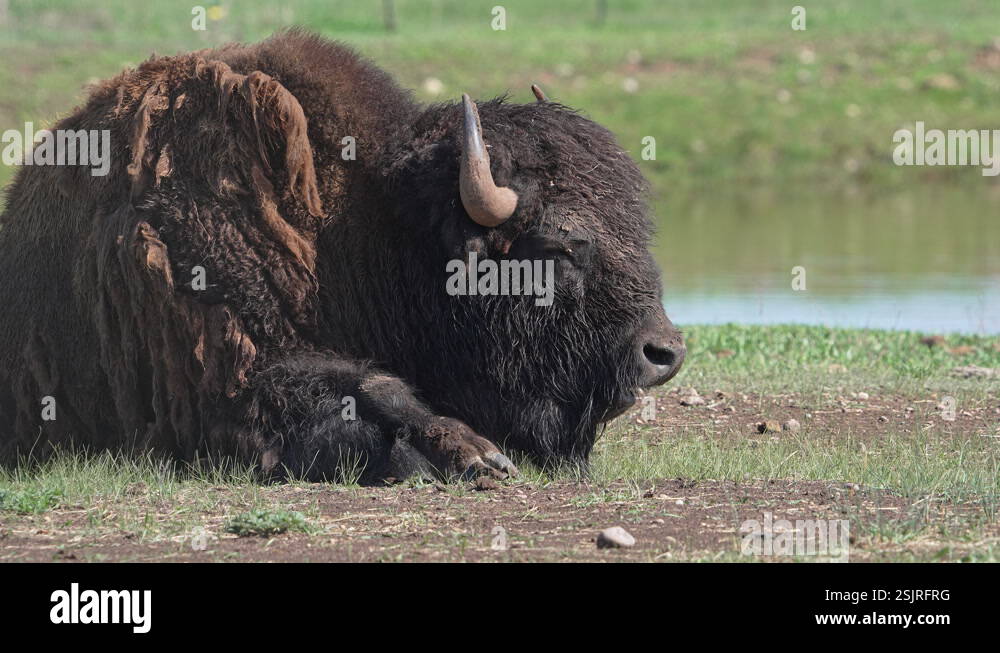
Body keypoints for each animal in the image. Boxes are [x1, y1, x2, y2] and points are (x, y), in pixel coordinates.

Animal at [0, 29, 684, 484]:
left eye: (635, 225)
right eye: (558, 245)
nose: (664, 354)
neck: (361, 225)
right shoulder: (236, 377)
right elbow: (368, 385)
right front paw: (472, 454)